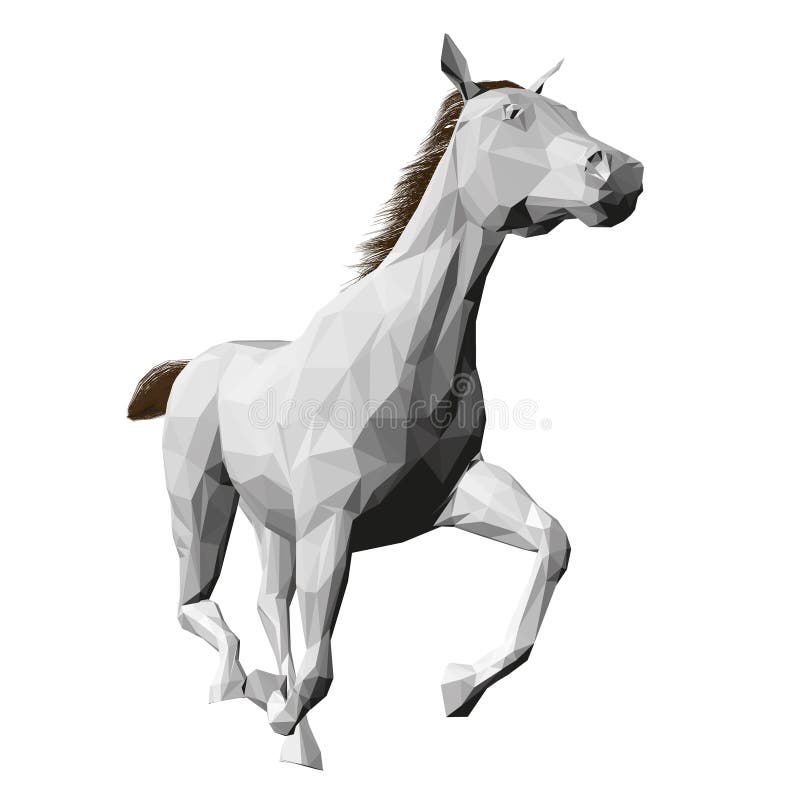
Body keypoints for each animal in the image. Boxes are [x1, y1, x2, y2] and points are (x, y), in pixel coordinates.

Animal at [128, 34, 643, 770]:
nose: (622, 173)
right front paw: (290, 731)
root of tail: (191, 367)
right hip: (200, 502)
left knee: (266, 602)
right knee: (194, 603)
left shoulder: (446, 497)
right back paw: (245, 690)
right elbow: (320, 667)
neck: (400, 353)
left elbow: (554, 544)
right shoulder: (330, 525)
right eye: (513, 113)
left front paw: (456, 689)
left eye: (570, 112)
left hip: (269, 520)